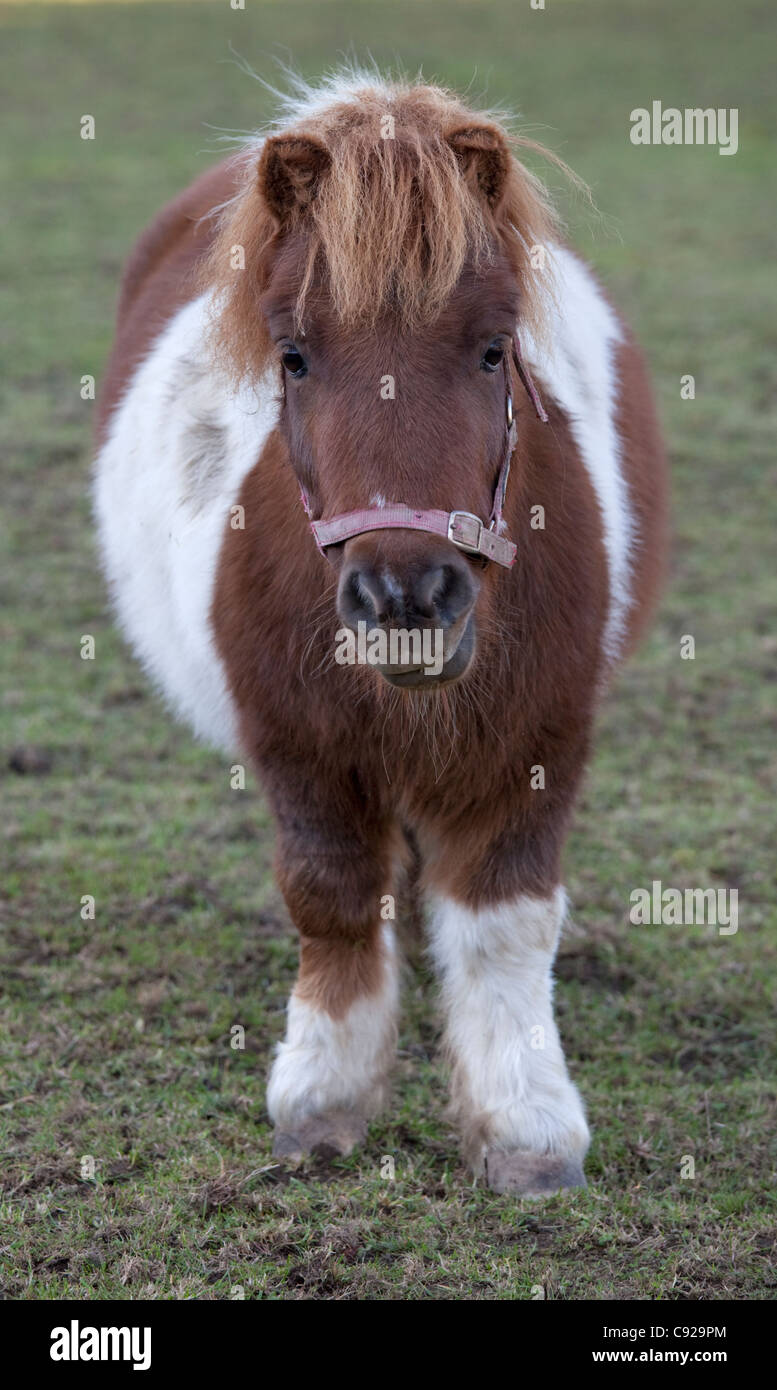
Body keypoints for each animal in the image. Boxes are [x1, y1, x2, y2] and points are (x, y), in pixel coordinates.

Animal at [94, 72, 667, 1195]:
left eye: (493, 350)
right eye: (294, 357)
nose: (407, 598)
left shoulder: (539, 741)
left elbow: (505, 921)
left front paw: (526, 1128)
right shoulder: (296, 747)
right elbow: (332, 896)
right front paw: (324, 1100)